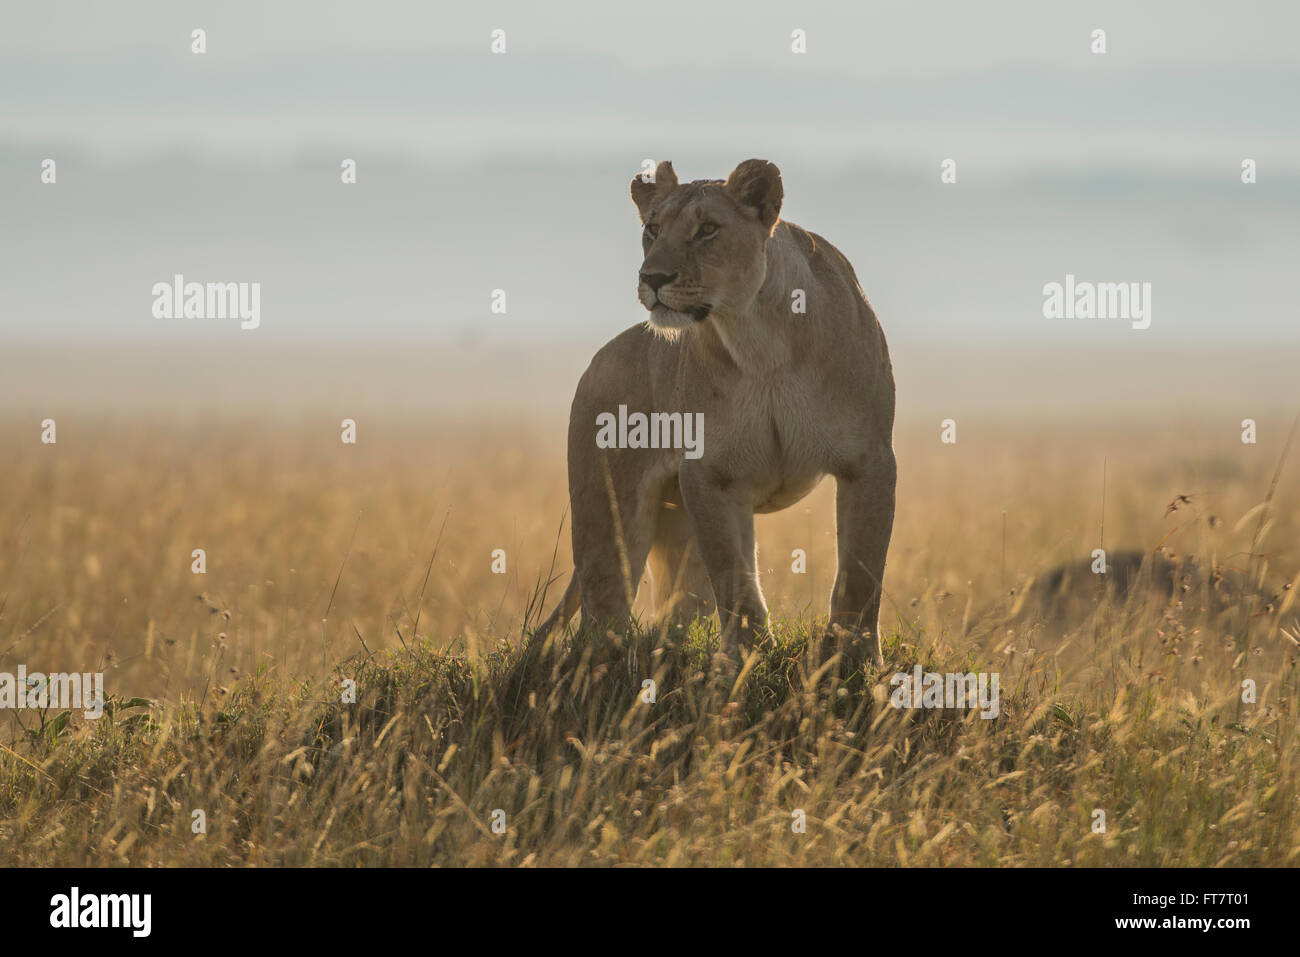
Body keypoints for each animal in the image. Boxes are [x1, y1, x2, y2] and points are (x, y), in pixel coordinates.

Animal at [538, 158, 897, 667]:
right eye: (652, 228)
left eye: (707, 229)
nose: (652, 278)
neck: (759, 338)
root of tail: (599, 359)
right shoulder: (710, 475)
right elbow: (733, 576)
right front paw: (748, 656)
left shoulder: (869, 461)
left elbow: (862, 572)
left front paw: (855, 658)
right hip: (611, 516)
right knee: (604, 609)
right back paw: (606, 660)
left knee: (676, 609)